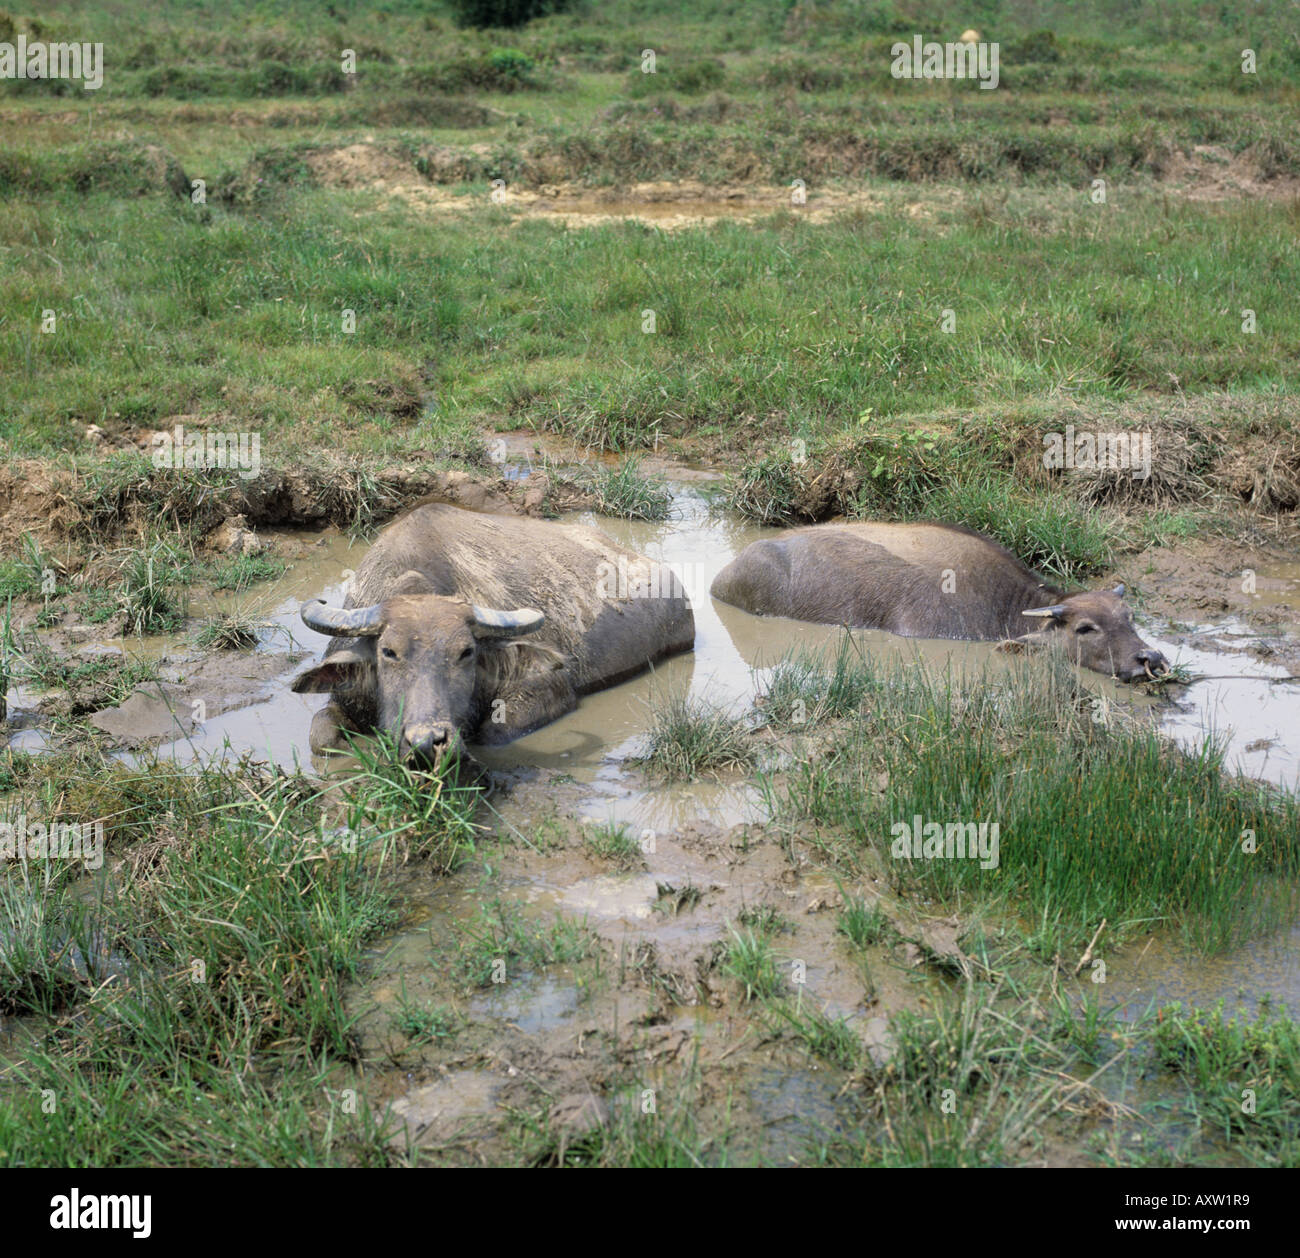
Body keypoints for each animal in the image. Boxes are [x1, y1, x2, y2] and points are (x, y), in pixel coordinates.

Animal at [293, 503, 694, 762]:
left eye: (465, 653)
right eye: (388, 652)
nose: (427, 743)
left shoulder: (548, 689)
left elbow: (491, 733)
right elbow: (321, 736)